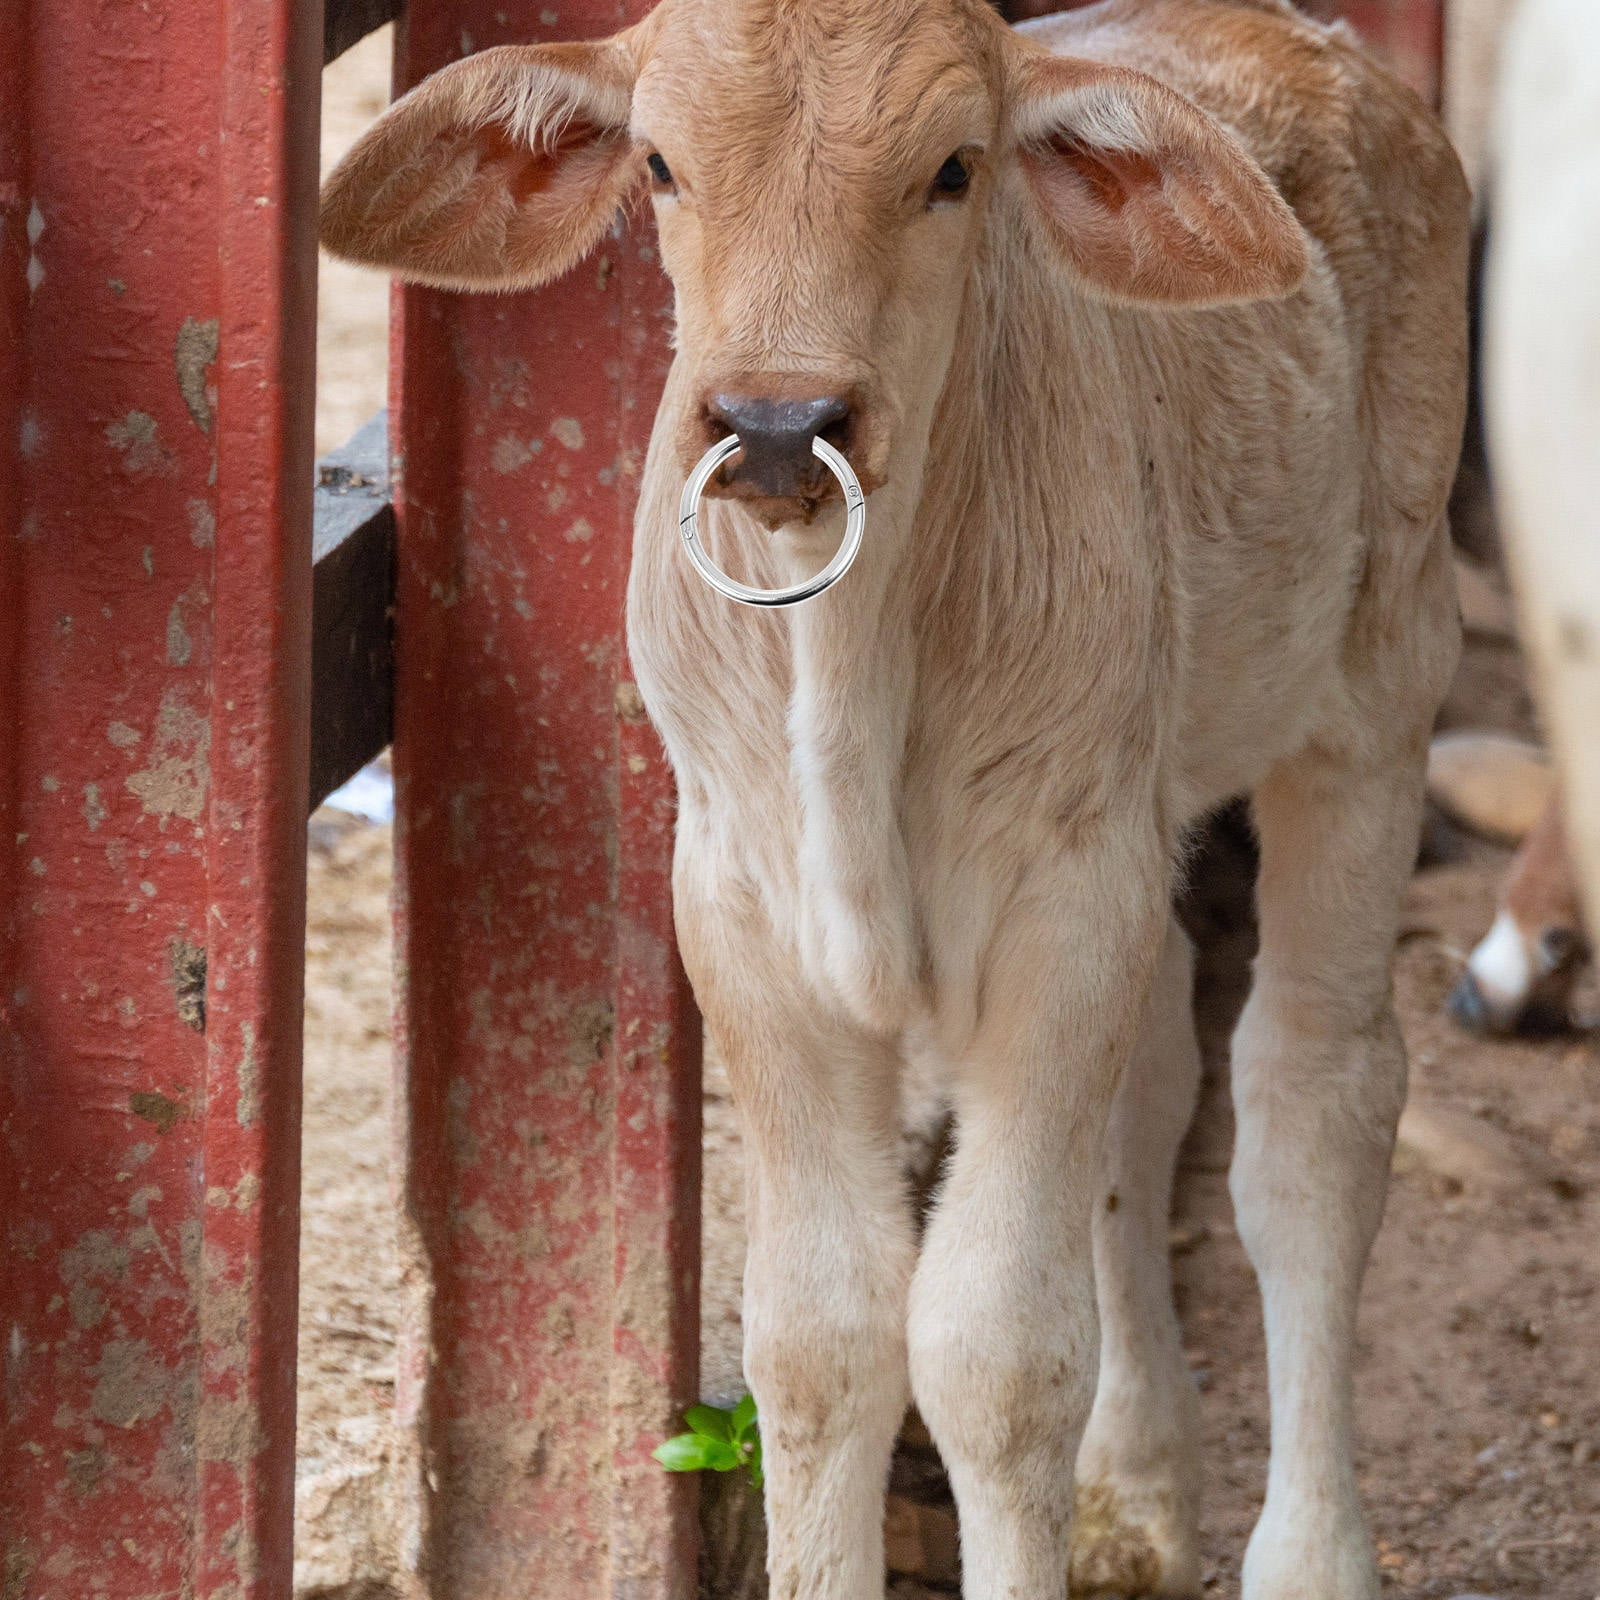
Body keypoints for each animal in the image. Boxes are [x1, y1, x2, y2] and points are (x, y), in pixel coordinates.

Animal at [321, 1, 1469, 1595]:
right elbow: (819, 1336)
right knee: (1154, 1081)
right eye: (660, 164)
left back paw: (1308, 1554)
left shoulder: (1066, 891)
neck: (848, 664)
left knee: (1314, 1105)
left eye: (953, 170)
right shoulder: (739, 904)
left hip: (1379, 679)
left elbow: (997, 1349)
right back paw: (1134, 1491)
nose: (777, 421)